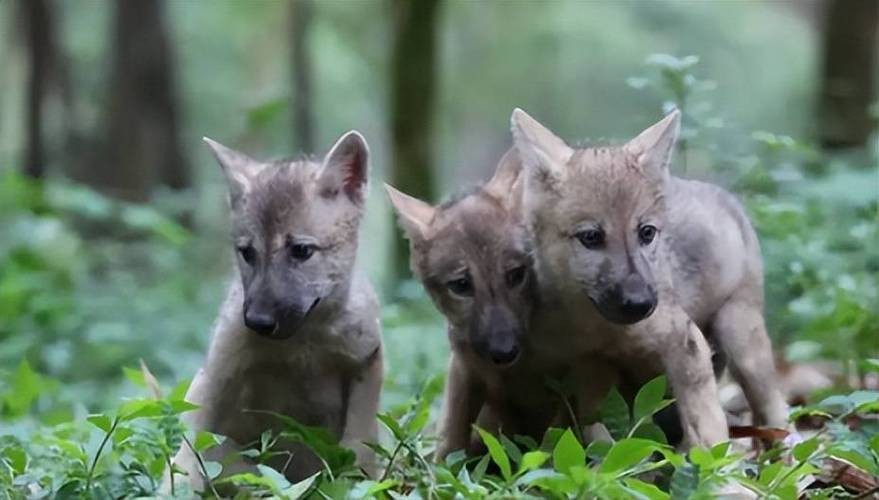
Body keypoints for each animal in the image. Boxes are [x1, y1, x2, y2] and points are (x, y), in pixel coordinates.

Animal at [170, 131, 383, 491]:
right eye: (247, 252)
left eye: (301, 250)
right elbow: (191, 457)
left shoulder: (367, 359)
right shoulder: (216, 375)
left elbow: (360, 447)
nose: (258, 321)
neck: (303, 347)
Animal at [385, 151, 578, 460]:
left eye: (516, 275)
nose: (504, 350)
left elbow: (555, 445)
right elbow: (450, 442)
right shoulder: (465, 369)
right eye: (461, 285)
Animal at [511, 108, 788, 448]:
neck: (604, 330)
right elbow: (600, 436)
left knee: (776, 410)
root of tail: (727, 198)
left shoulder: (686, 345)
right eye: (591, 237)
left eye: (646, 233)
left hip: (740, 340)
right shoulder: (592, 368)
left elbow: (707, 432)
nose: (640, 304)